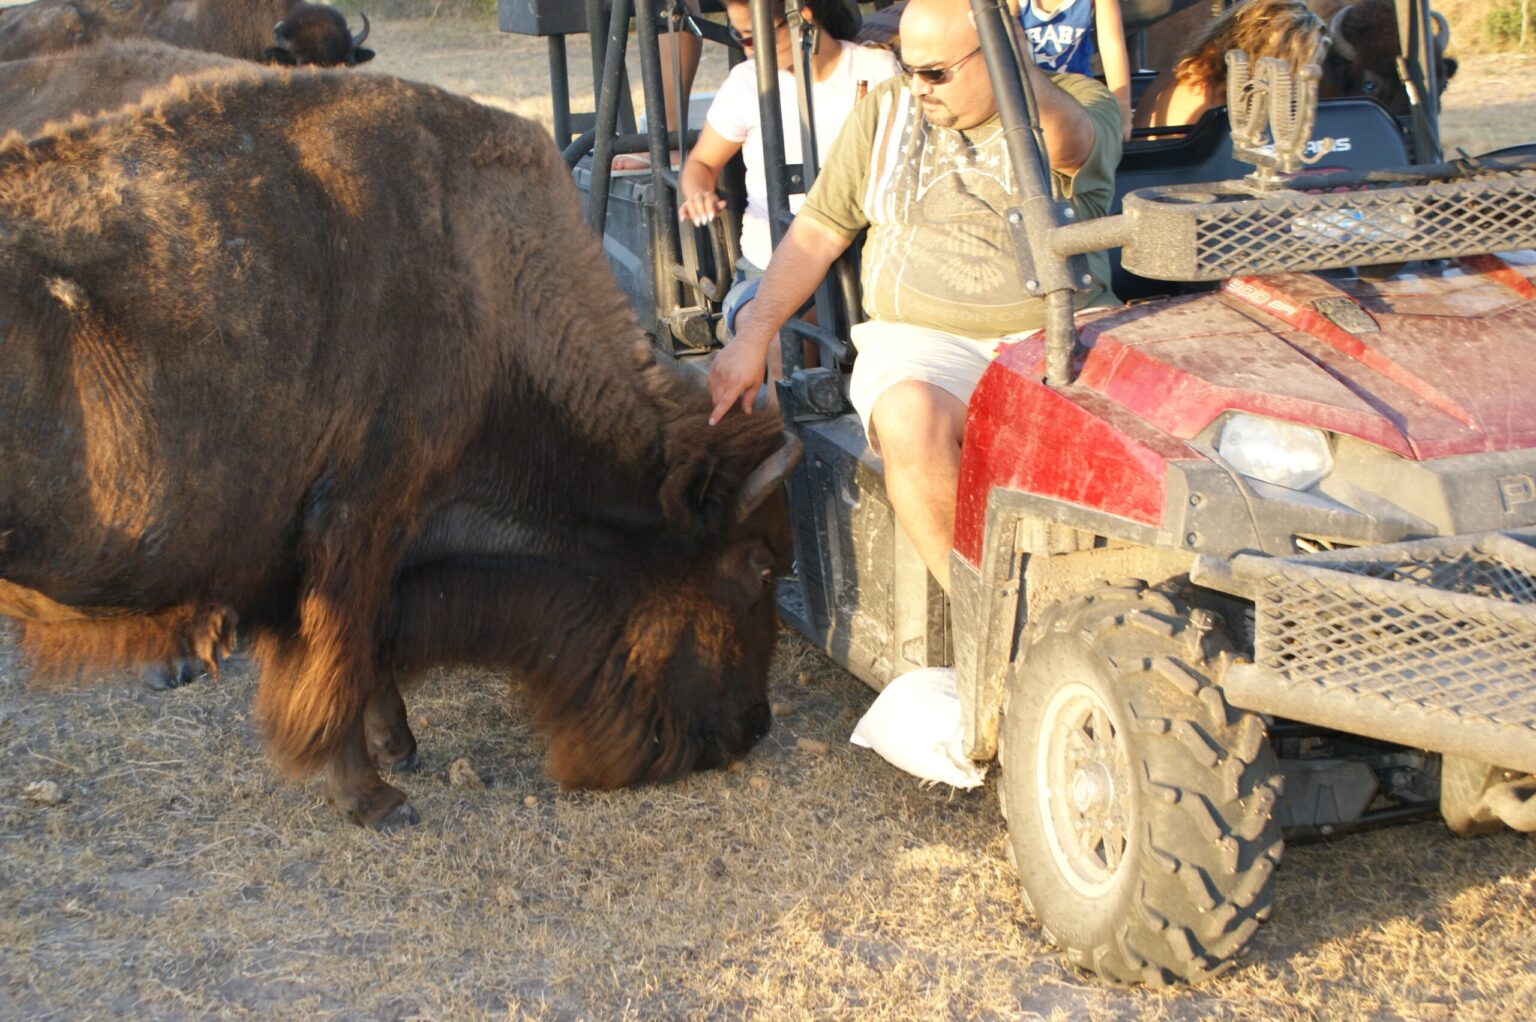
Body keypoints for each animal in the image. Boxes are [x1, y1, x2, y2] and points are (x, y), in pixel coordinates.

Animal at [0, 58, 797, 826]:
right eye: (758, 569)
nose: (751, 729)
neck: (481, 283)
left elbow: (369, 652)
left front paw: (397, 745)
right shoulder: (356, 525)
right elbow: (340, 664)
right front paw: (374, 799)